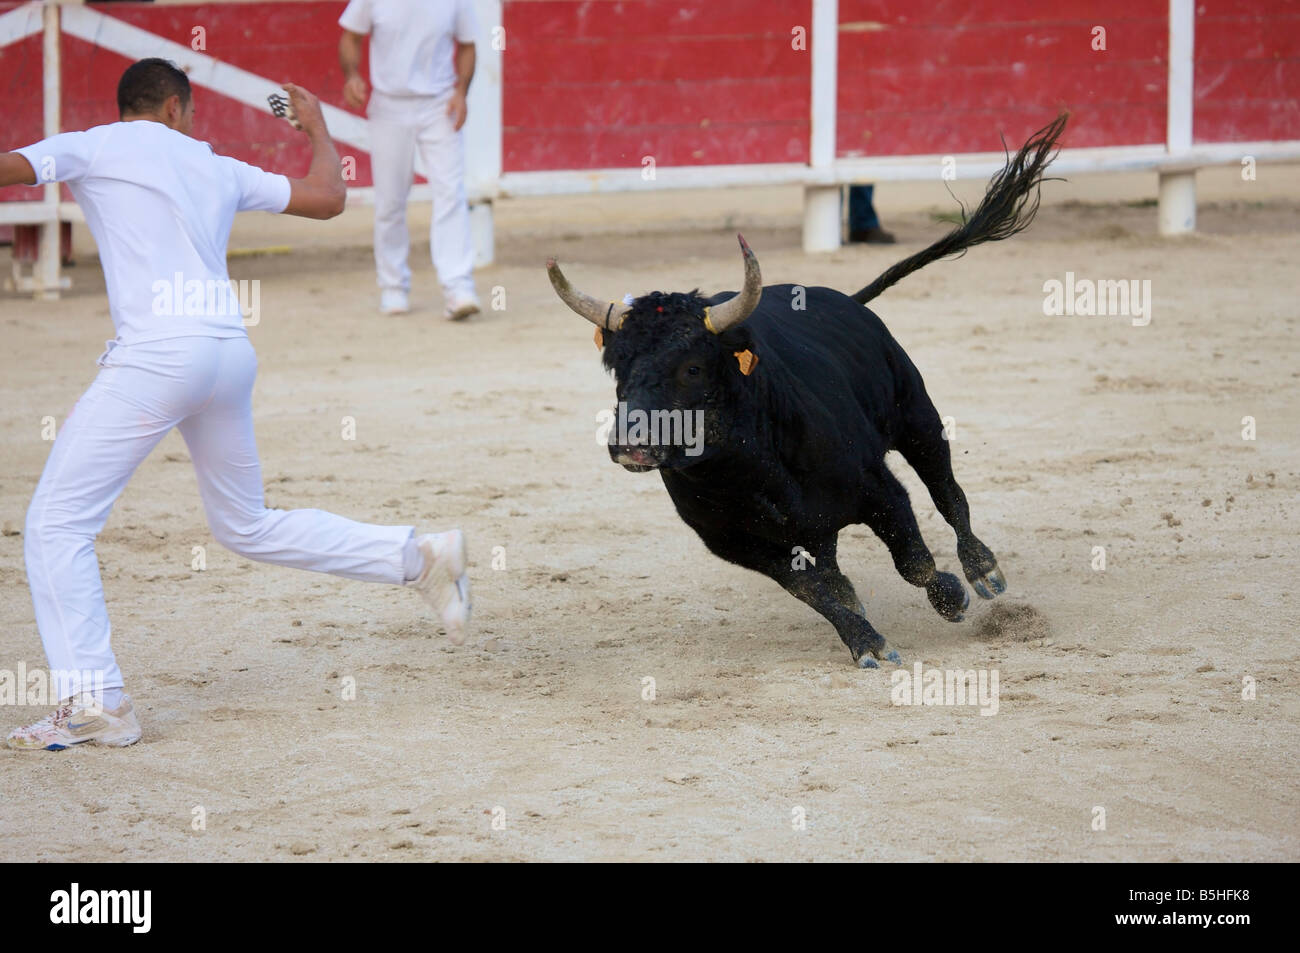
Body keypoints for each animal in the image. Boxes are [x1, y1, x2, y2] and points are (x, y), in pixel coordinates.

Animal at [547, 115, 1067, 667]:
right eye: (616, 366)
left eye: (692, 368)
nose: (632, 444)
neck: (746, 466)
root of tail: (846, 300)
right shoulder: (742, 546)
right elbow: (818, 592)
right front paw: (866, 642)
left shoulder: (879, 488)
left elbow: (913, 559)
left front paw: (951, 596)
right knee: (836, 561)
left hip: (917, 417)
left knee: (947, 491)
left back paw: (983, 570)